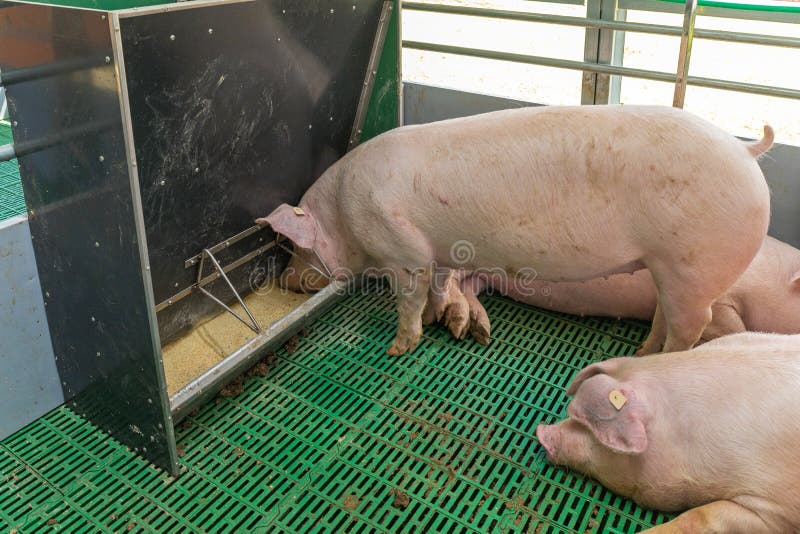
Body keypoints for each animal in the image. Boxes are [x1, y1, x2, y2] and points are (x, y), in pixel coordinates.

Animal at [450, 235, 800, 345]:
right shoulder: (718, 299)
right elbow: (732, 325)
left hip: (484, 275)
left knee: (470, 286)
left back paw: (481, 330)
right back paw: (457, 322)